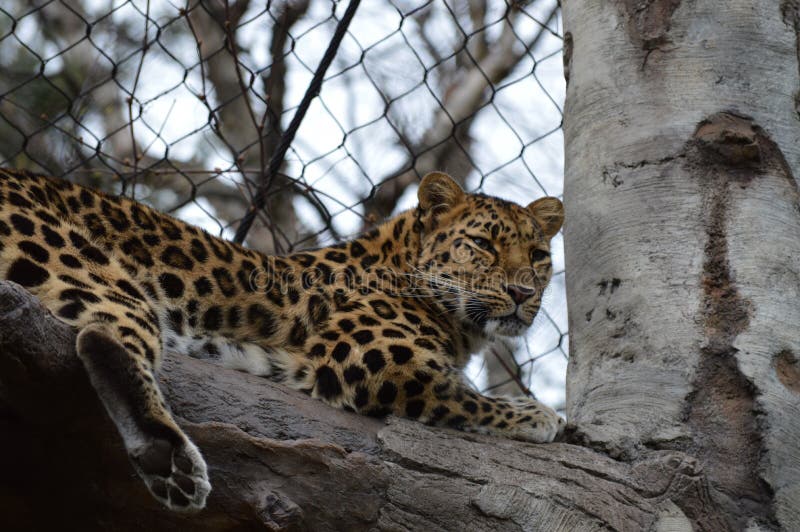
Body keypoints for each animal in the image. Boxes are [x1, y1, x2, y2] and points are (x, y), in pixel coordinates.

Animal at [0, 168, 565, 512]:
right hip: (78, 259)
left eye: (539, 256)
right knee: (104, 335)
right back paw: (172, 458)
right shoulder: (370, 357)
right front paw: (544, 417)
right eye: (483, 245)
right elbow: (468, 397)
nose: (522, 292)